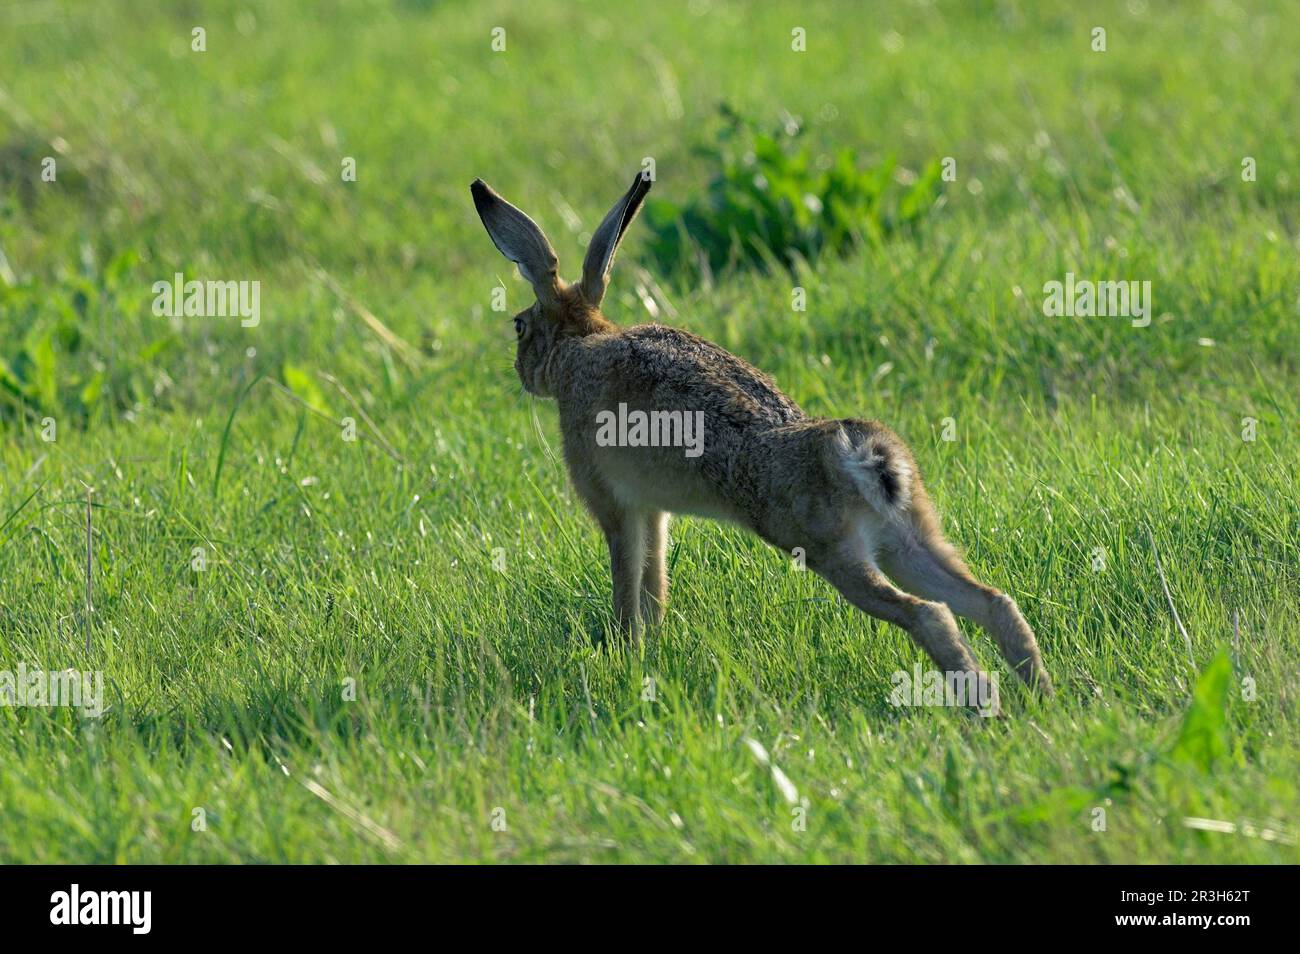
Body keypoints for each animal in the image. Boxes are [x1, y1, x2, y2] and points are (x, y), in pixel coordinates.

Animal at [470, 170, 1052, 705]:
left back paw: (985, 708)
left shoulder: (614, 506)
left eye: (519, 326)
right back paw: (1041, 697)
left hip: (829, 549)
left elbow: (626, 578)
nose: (521, 372)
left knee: (929, 615)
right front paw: (651, 649)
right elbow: (654, 579)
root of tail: (856, 449)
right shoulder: (653, 511)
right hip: (905, 538)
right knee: (989, 601)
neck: (582, 342)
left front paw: (625, 651)